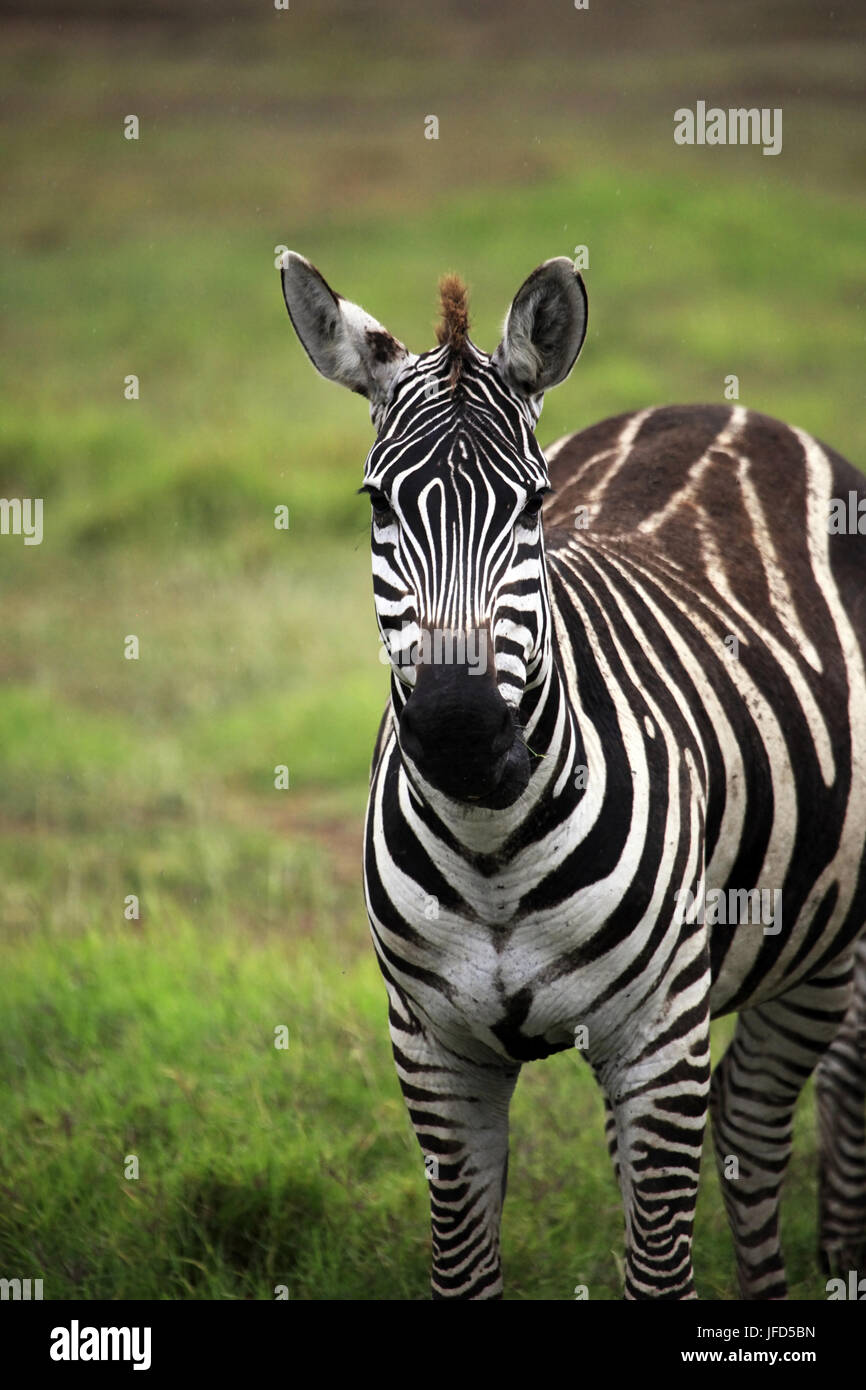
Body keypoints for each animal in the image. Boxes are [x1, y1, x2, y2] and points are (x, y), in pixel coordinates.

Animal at [280, 251, 866, 1299]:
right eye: (378, 503)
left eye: (533, 504)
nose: (461, 735)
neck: (491, 852)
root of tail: (719, 410)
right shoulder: (434, 1055)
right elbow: (466, 1269)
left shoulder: (659, 1045)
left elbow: (661, 1270)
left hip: (814, 946)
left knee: (771, 1114)